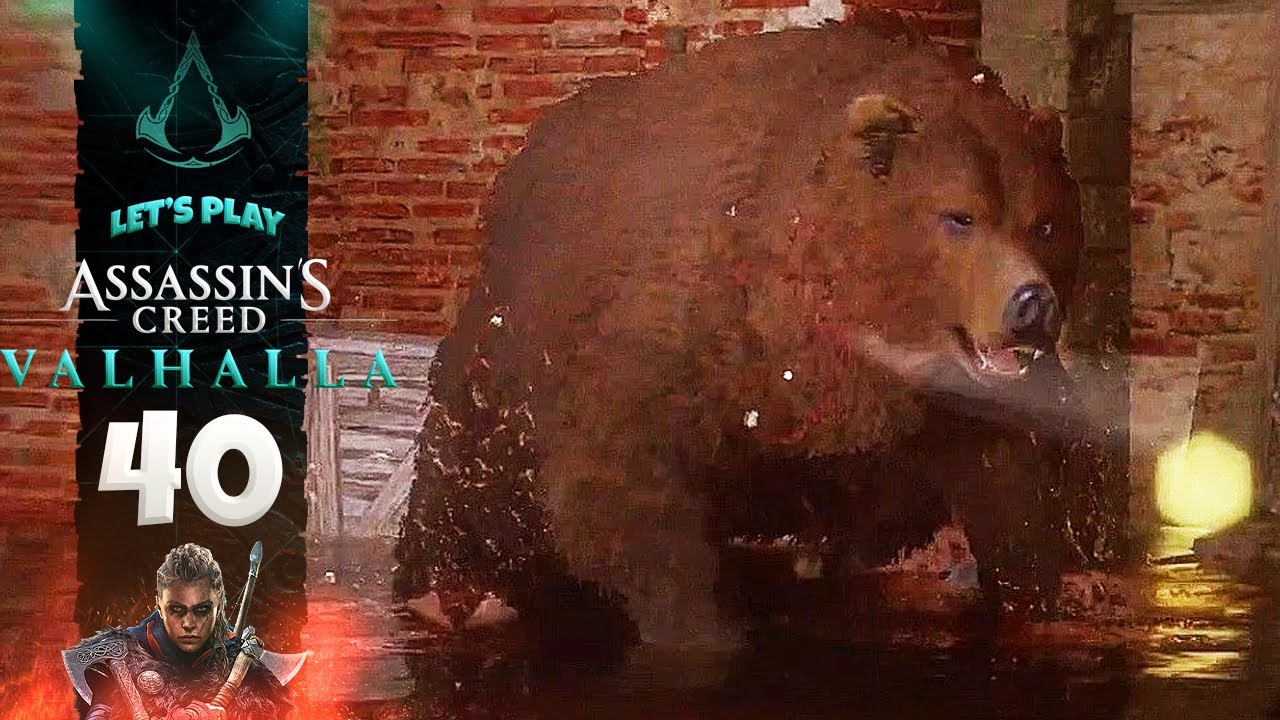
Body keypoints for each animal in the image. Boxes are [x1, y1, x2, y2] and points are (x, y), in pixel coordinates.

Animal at [395, 15, 1123, 662]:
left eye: (1044, 222)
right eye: (959, 217)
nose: (1031, 304)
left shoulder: (960, 412)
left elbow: (1018, 495)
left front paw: (1055, 600)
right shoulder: (674, 346)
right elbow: (625, 492)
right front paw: (703, 631)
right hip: (495, 379)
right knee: (463, 491)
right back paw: (448, 592)